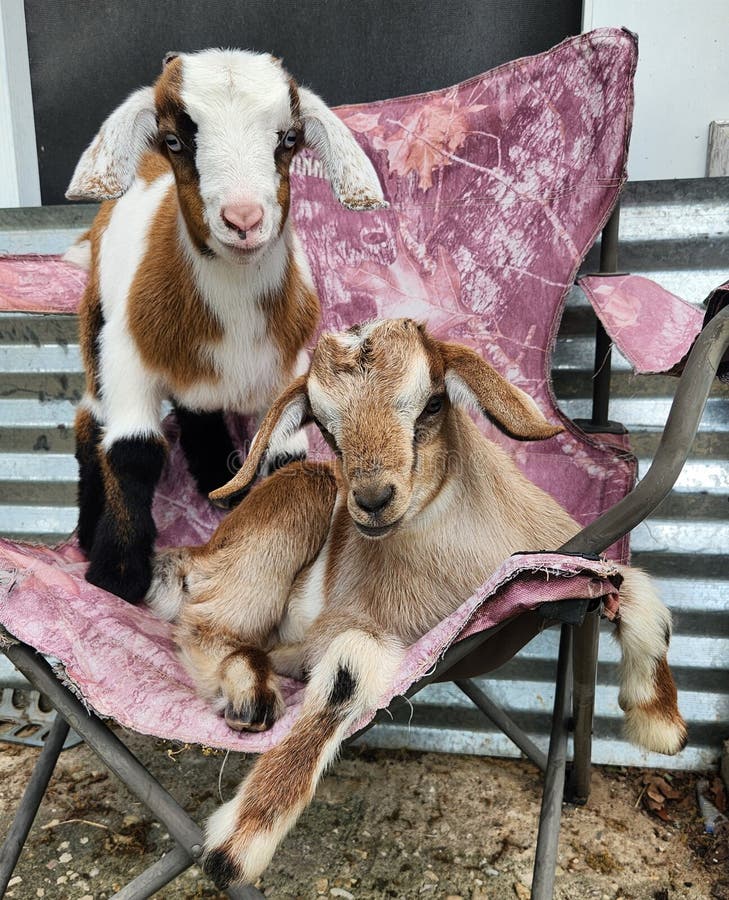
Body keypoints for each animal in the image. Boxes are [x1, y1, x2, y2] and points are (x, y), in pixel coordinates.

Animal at [64, 48, 386, 603]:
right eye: (176, 140)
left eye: (288, 139)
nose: (243, 219)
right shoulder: (129, 362)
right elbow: (132, 452)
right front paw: (118, 575)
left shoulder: (287, 368)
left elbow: (286, 457)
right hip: (97, 330)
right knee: (91, 418)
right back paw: (88, 529)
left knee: (198, 407)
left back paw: (217, 478)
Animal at [146, 317, 687, 888]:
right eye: (324, 426)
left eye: (431, 403)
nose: (372, 501)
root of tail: (202, 551)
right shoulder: (353, 619)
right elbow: (347, 676)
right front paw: (236, 845)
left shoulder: (567, 562)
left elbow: (640, 592)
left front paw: (661, 725)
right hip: (290, 508)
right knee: (205, 627)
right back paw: (250, 696)